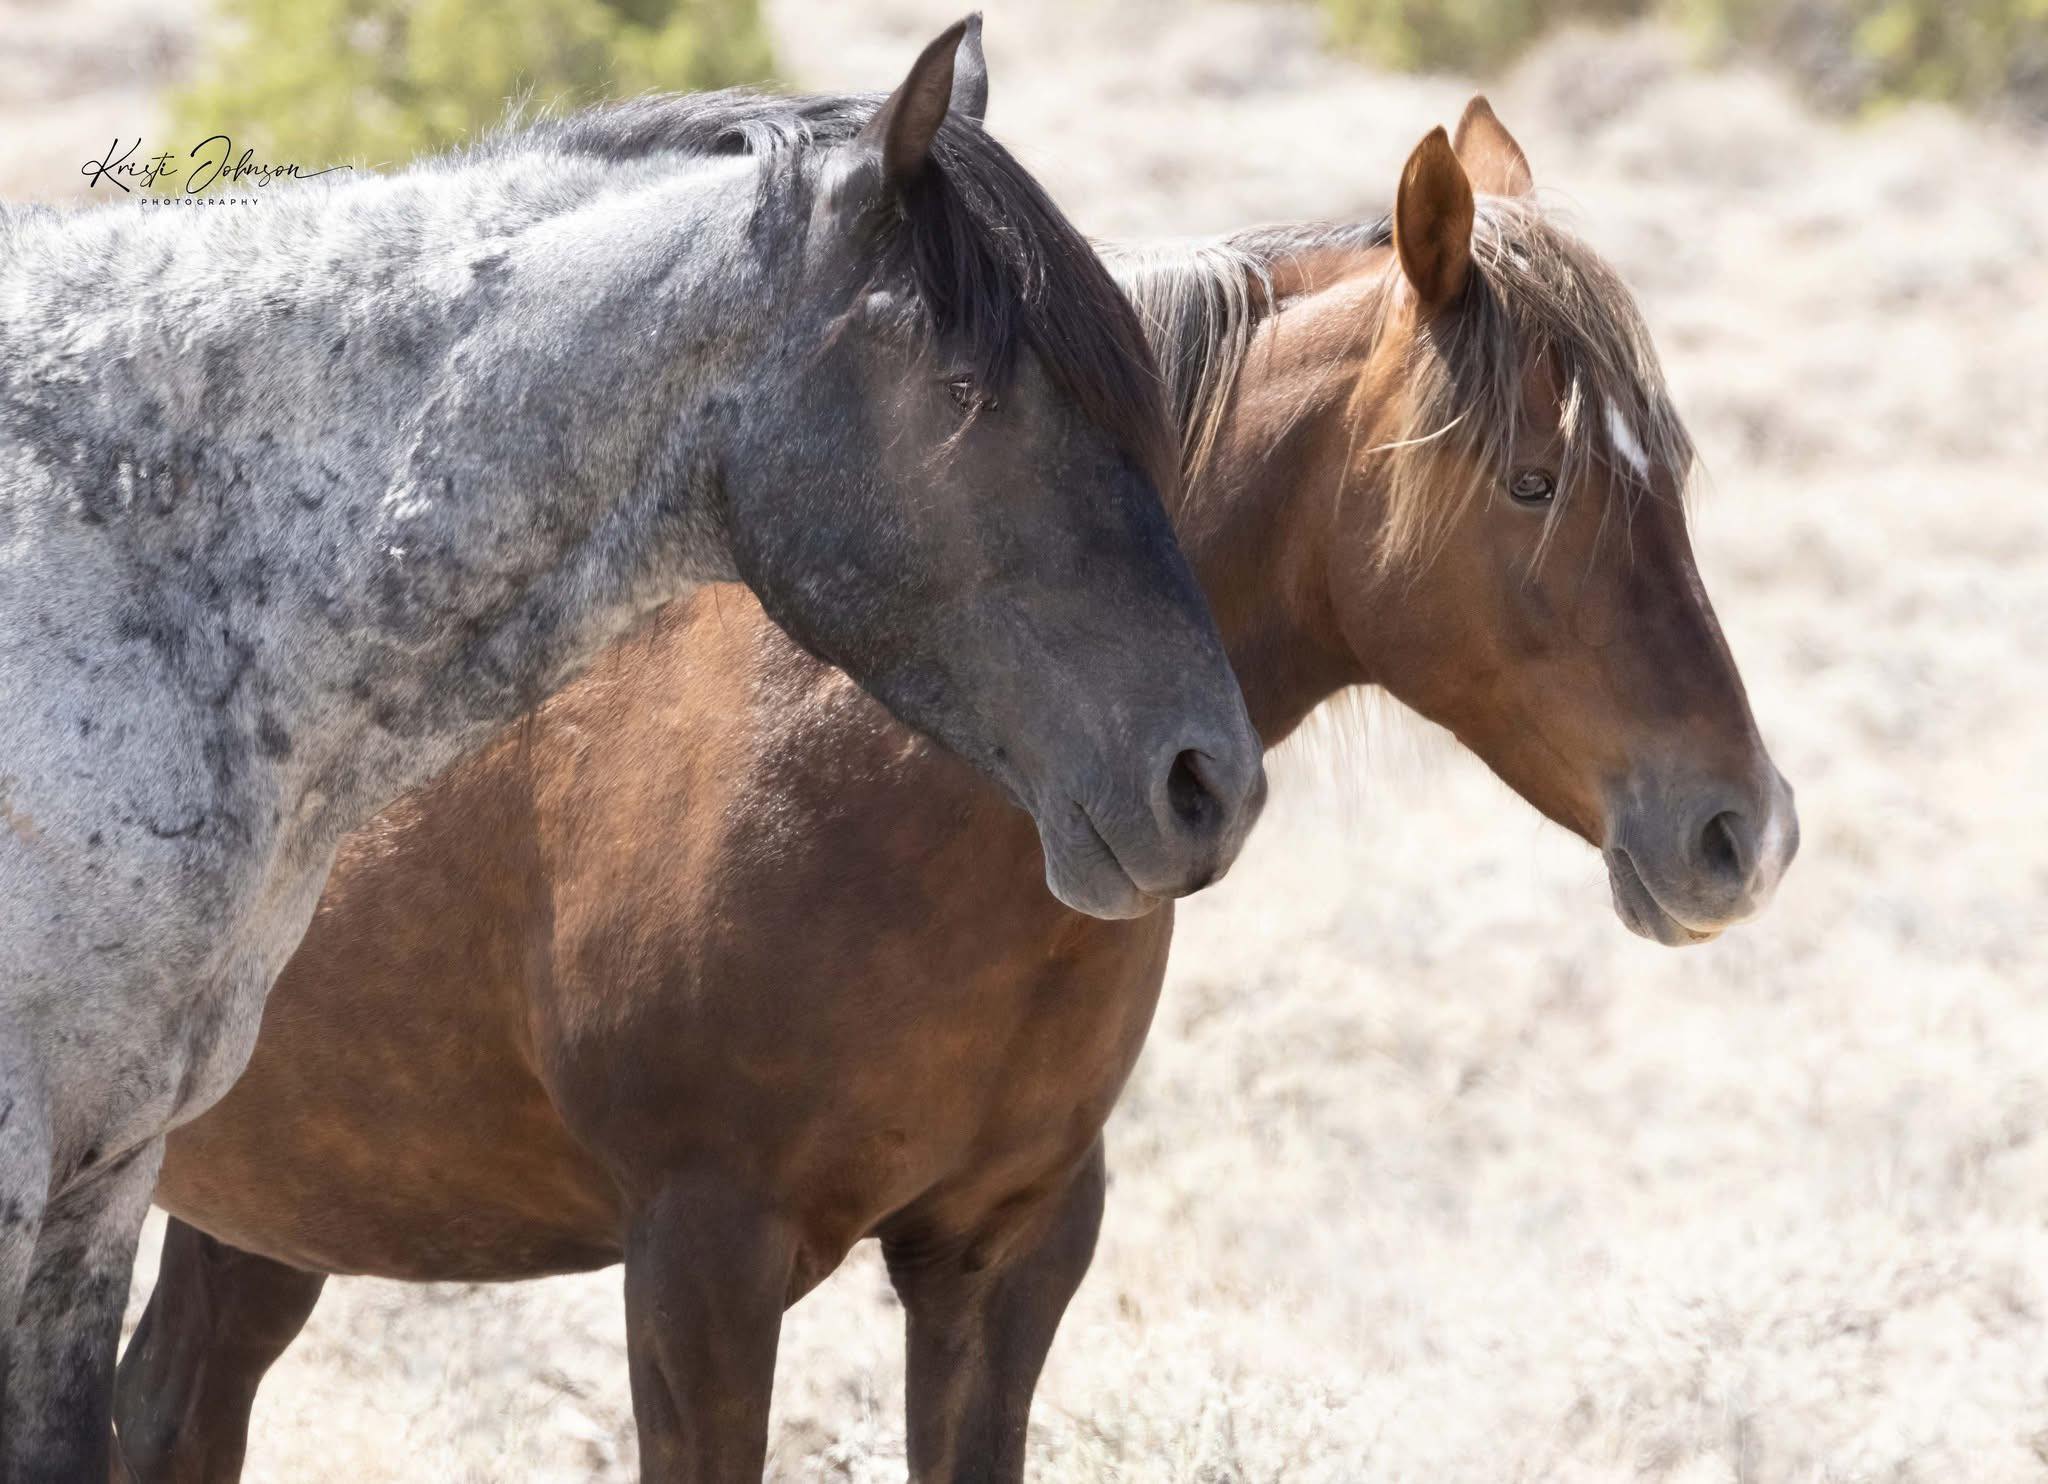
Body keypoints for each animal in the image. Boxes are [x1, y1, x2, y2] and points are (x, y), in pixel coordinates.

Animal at [117, 100, 1797, 1482]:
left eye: (1675, 468)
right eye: (1534, 480)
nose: (1744, 833)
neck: (897, 770)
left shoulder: (1008, 1252)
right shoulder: (699, 1267)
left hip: (254, 1217)